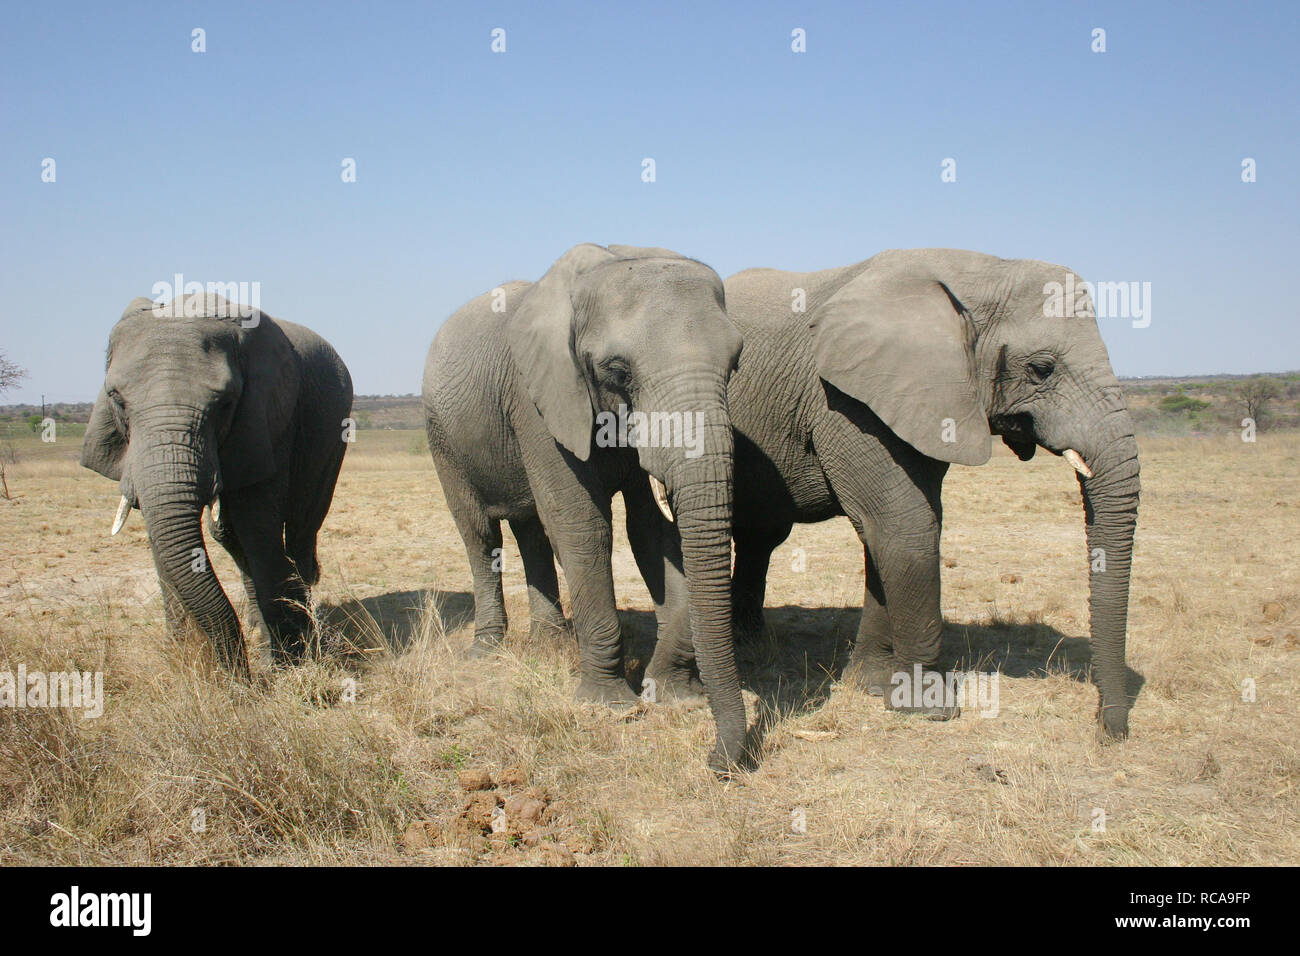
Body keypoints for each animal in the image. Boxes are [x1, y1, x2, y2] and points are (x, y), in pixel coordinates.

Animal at [80, 293, 354, 676]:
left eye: (225, 403)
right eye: (116, 399)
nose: (242, 675)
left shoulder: (267, 419)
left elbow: (258, 527)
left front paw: (284, 663)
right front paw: (183, 658)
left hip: (330, 434)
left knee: (300, 527)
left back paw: (301, 622)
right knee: (226, 533)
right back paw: (262, 626)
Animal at [422, 243, 748, 771]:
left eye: (735, 362)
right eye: (617, 371)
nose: (717, 762)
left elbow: (650, 532)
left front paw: (672, 693)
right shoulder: (537, 399)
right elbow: (582, 527)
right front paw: (612, 707)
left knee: (531, 530)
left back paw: (550, 643)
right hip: (442, 436)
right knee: (479, 533)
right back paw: (487, 649)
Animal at [642, 249, 1140, 738]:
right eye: (1041, 369)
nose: (1107, 729)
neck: (978, 270)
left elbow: (888, 531)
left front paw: (872, 685)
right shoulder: (845, 401)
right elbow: (906, 525)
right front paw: (926, 708)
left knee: (760, 537)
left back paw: (751, 641)